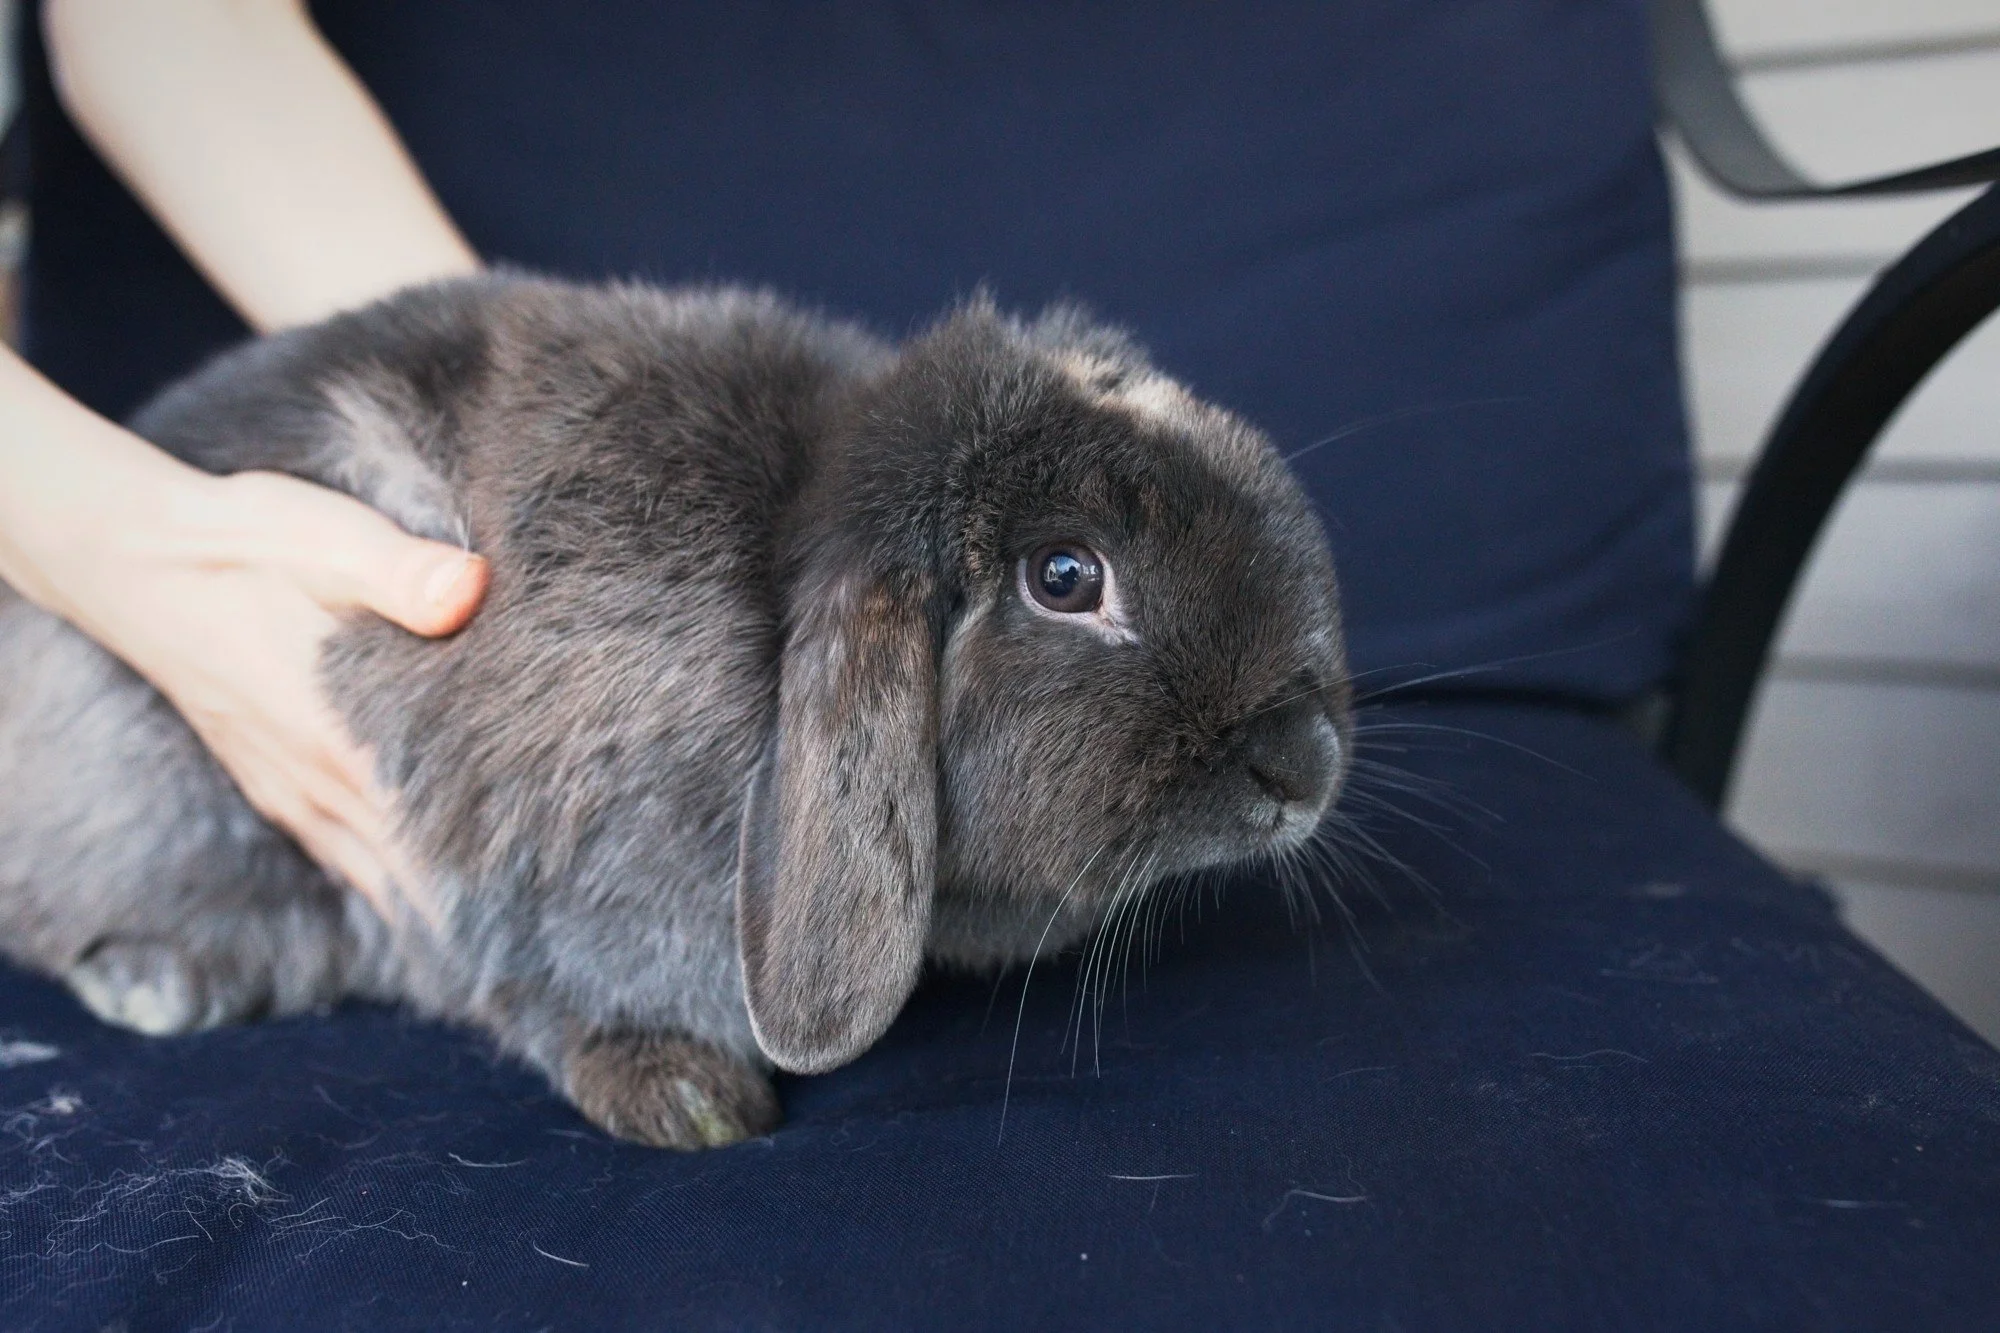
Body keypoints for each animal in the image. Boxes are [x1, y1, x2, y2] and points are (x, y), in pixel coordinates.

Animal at [0, 274, 1350, 1149]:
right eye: (1064, 576)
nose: (1303, 764)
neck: (784, 563)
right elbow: (556, 988)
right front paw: (687, 1102)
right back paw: (156, 982)